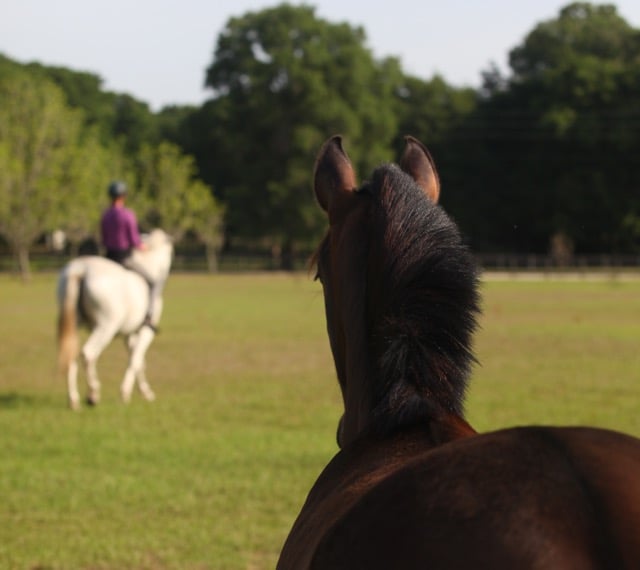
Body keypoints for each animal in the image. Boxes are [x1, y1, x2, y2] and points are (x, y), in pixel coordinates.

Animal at [56, 229, 173, 410]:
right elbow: (135, 360)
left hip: (74, 323)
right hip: (106, 327)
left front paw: (145, 392)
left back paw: (74, 400)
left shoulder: (130, 334)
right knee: (89, 354)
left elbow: (139, 362)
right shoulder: (145, 332)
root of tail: (81, 268)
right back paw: (93, 394)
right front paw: (126, 393)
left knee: (70, 355)